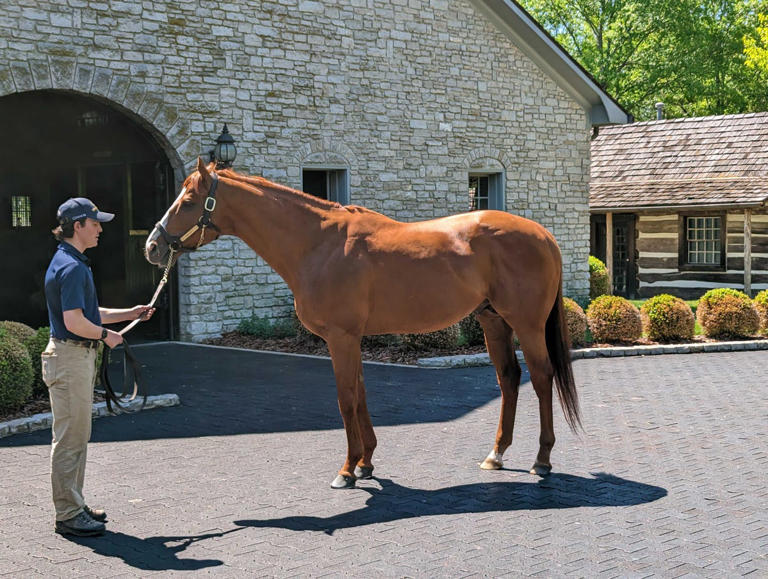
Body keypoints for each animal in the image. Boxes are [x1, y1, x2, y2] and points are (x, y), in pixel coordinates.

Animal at [145, 158, 581, 489]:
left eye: (188, 199)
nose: (153, 246)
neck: (319, 244)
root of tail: (543, 236)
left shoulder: (340, 338)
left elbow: (346, 398)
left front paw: (346, 470)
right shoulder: (351, 338)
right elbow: (361, 393)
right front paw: (366, 463)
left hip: (526, 324)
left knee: (541, 377)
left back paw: (542, 460)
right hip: (493, 321)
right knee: (509, 378)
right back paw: (496, 455)